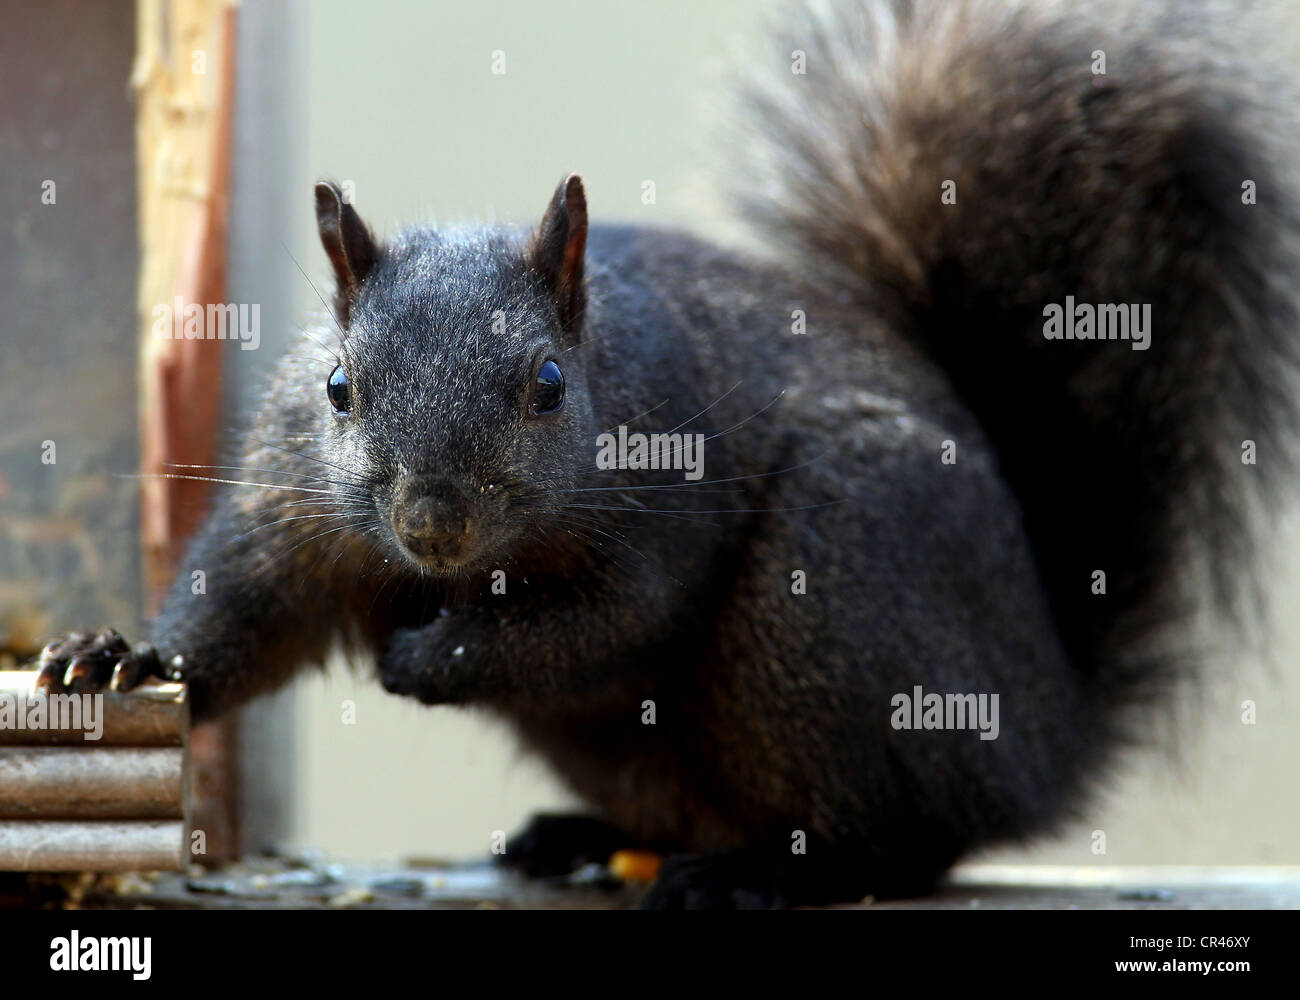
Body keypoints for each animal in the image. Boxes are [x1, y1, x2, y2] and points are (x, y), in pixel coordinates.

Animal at [31, 0, 1300, 908]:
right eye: (338, 387)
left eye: (548, 387)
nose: (431, 527)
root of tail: (1051, 727)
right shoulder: (293, 506)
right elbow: (245, 619)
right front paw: (119, 658)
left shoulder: (659, 521)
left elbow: (610, 622)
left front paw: (426, 660)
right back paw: (584, 837)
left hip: (832, 601)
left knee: (905, 838)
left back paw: (766, 870)